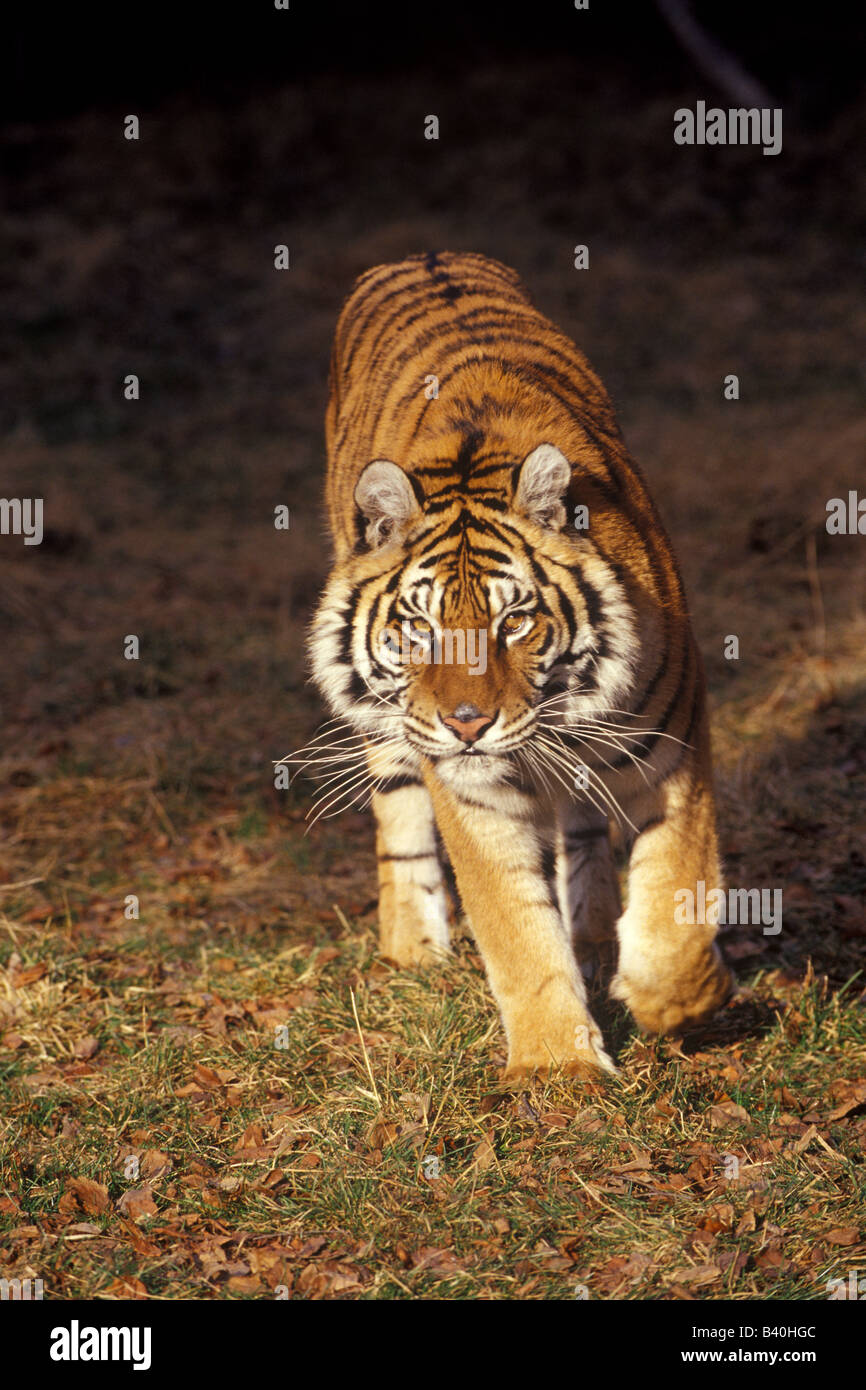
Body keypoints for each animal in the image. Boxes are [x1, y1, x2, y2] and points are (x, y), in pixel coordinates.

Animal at [304, 251, 732, 1079]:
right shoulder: (472, 790)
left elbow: (678, 888)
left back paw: (596, 935)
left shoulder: (673, 742)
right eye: (419, 626)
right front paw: (557, 1066)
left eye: (515, 621)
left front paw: (673, 1001)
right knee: (399, 810)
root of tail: (421, 253)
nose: (467, 724)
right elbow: (513, 923)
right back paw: (414, 949)